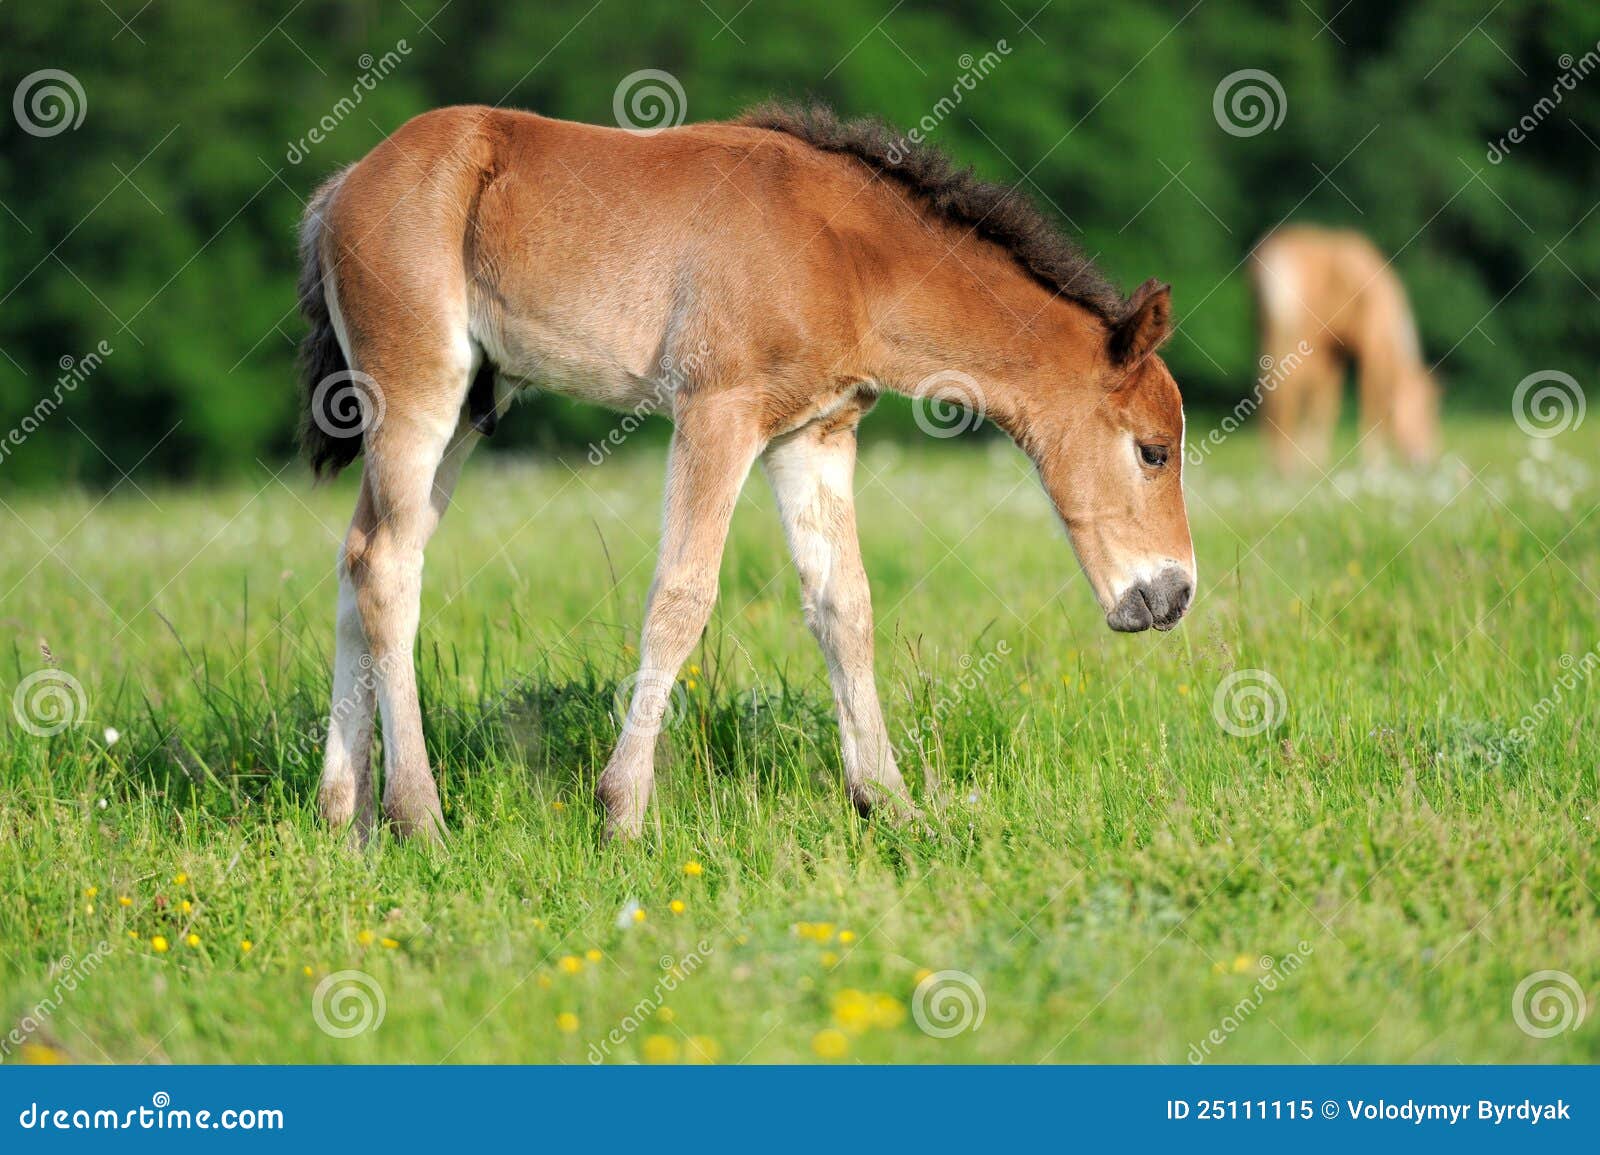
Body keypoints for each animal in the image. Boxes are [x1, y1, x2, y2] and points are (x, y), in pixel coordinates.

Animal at [297, 103, 1203, 838]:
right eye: (1153, 450)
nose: (1172, 594)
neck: (846, 254)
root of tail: (342, 185)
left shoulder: (815, 433)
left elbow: (845, 607)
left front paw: (891, 803)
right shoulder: (718, 411)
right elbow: (682, 596)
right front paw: (622, 811)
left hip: (463, 410)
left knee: (359, 559)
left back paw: (345, 818)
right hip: (417, 389)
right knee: (387, 567)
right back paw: (419, 817)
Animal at [1248, 222, 1440, 470]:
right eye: (1426, 412)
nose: (1426, 460)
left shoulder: (1331, 356)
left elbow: (1324, 404)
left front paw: (1313, 460)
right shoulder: (1369, 348)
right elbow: (1370, 398)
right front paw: (1373, 461)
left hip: (1269, 333)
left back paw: (1274, 463)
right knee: (1287, 393)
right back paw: (1286, 466)